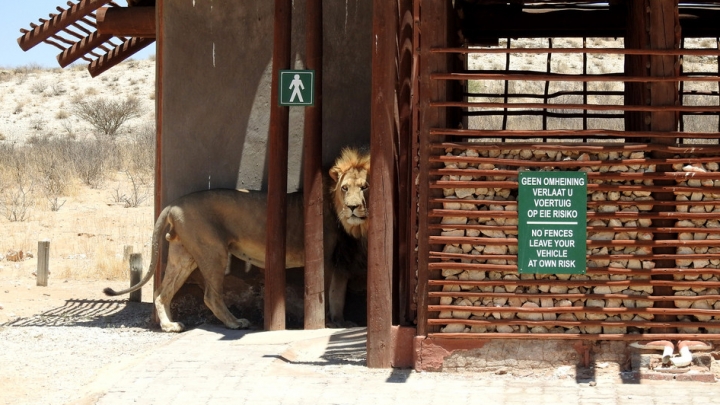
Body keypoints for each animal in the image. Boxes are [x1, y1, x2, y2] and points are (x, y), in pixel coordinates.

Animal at [104, 148, 369, 332]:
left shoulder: (339, 261)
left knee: (161, 292)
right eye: (345, 188)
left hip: (183, 256)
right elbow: (326, 293)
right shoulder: (324, 258)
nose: (353, 208)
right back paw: (235, 323)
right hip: (214, 252)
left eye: (365, 187)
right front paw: (329, 324)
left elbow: (338, 293)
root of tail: (172, 204)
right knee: (210, 295)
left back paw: (170, 326)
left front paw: (342, 322)